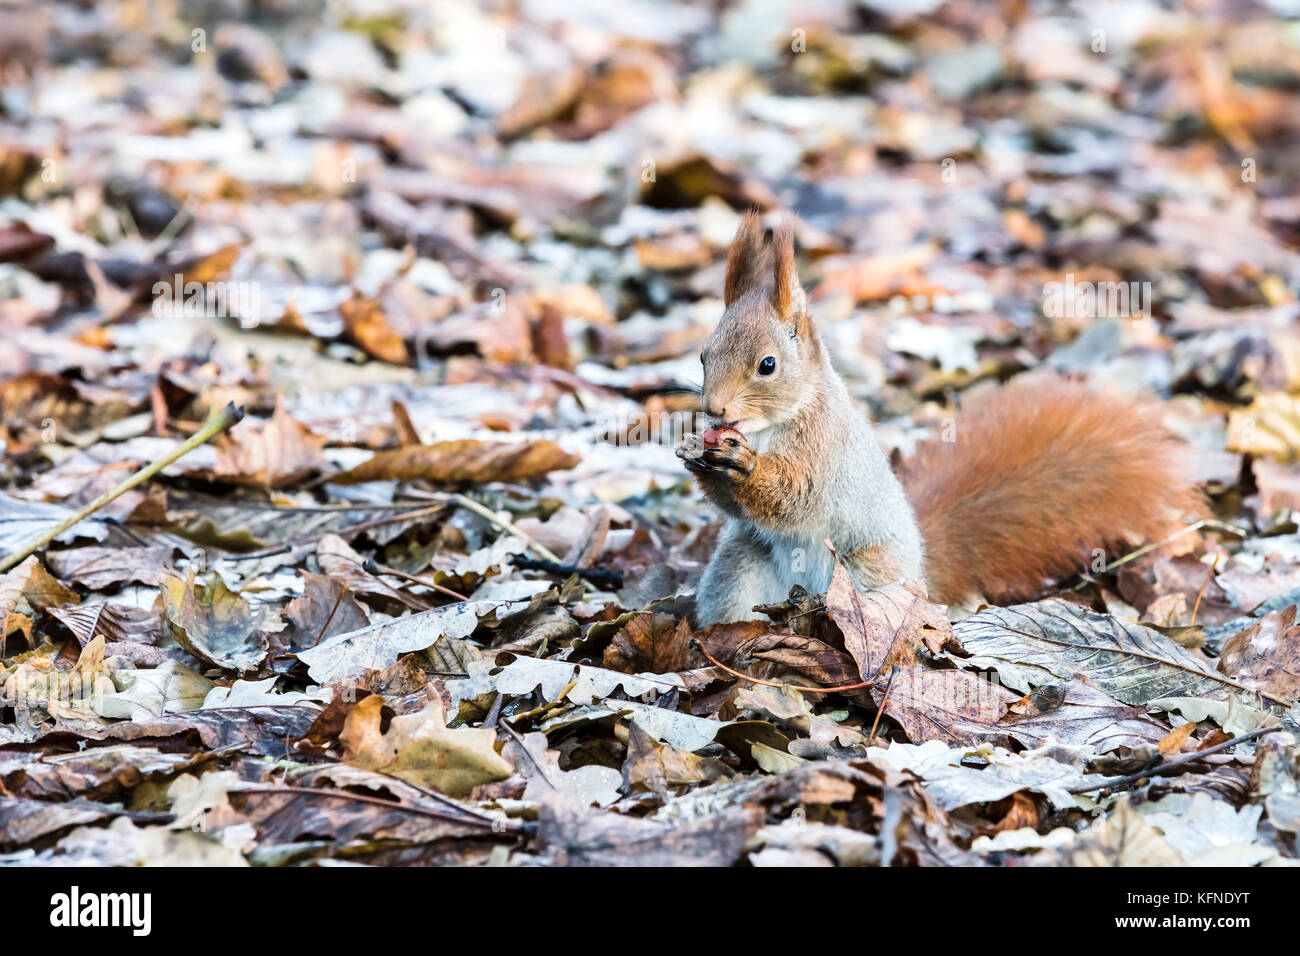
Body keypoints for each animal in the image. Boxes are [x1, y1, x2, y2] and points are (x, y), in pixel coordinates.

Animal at [677, 212, 1205, 626]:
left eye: (767, 365)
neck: (770, 427)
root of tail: (923, 570)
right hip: (739, 572)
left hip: (868, 576)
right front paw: (693, 451)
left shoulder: (824, 447)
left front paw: (745, 466)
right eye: (703, 356)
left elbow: (796, 496)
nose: (714, 409)